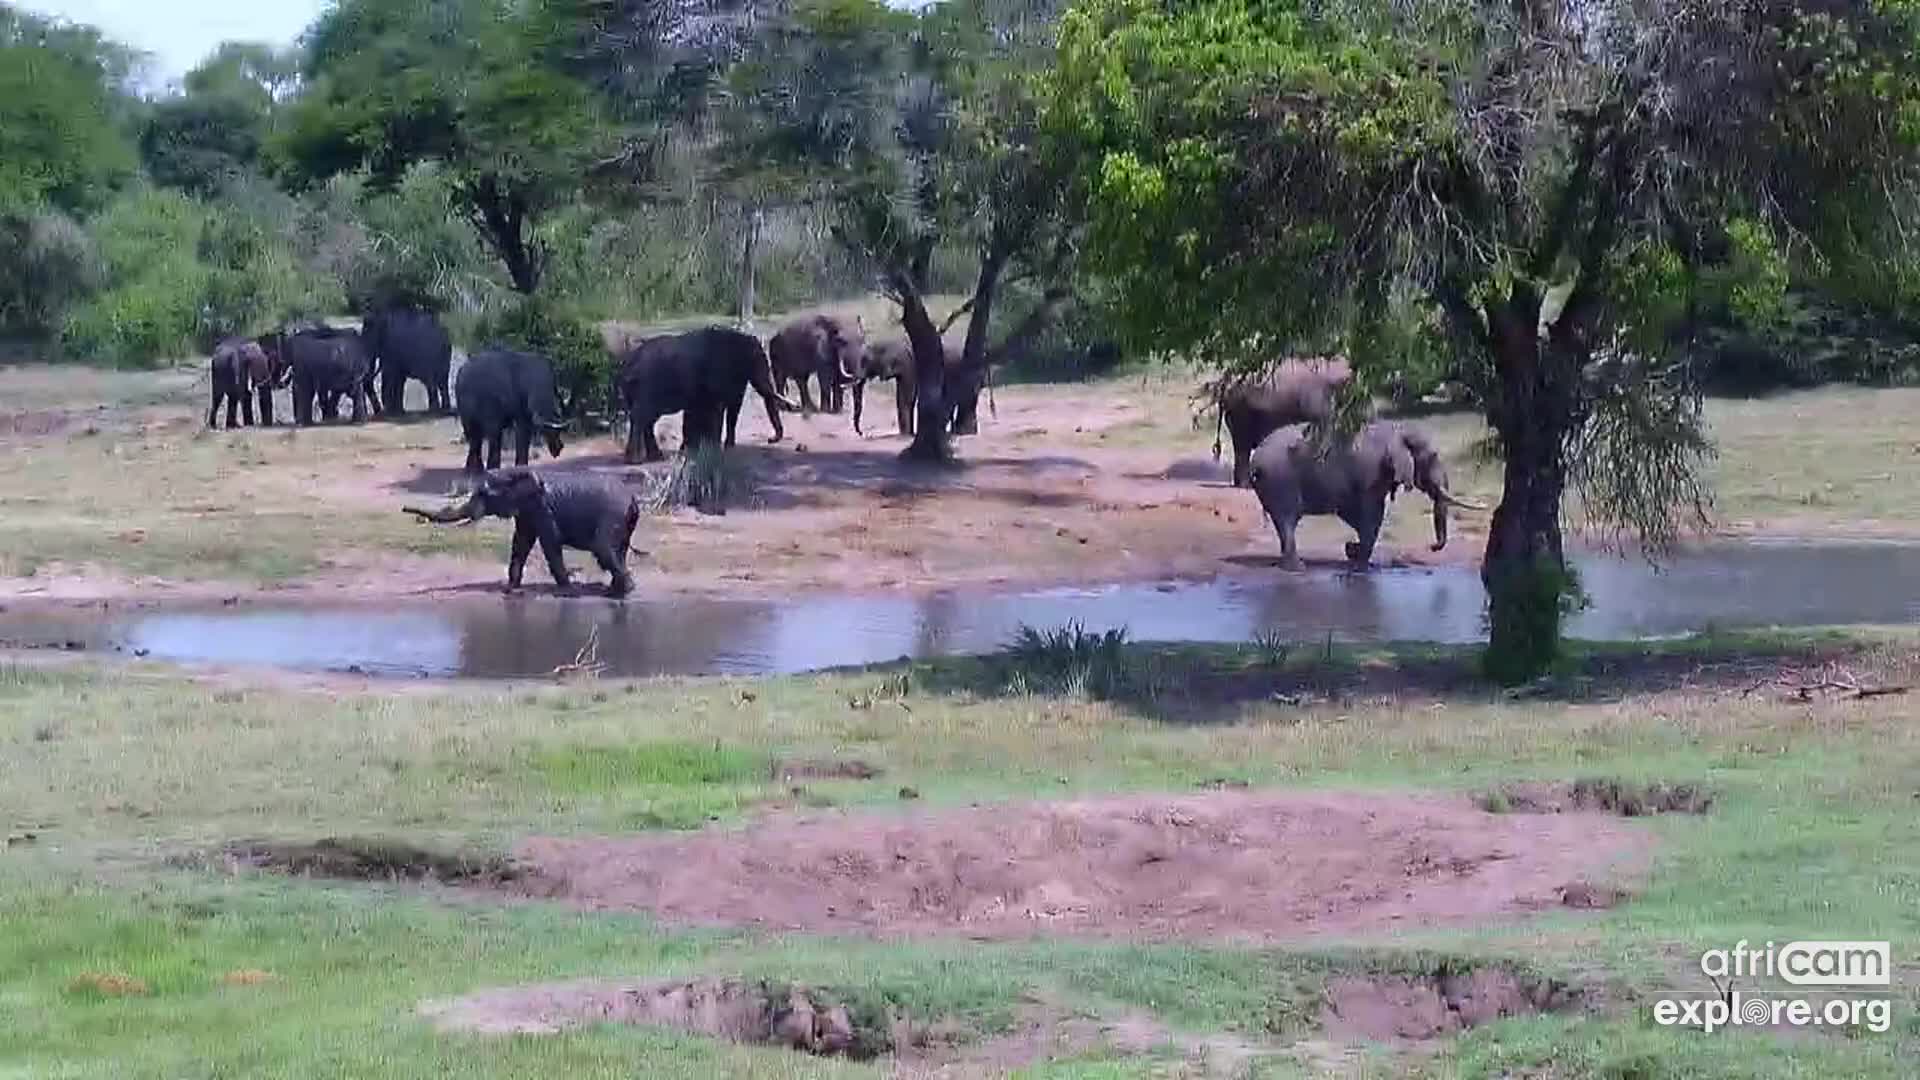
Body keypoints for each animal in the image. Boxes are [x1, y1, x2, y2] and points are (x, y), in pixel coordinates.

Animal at [404, 467, 642, 597]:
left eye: (483, 494)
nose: (405, 509)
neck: (517, 472)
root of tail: (632, 497)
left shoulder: (543, 509)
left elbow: (550, 543)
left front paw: (567, 590)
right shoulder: (527, 511)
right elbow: (521, 542)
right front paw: (510, 589)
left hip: (612, 515)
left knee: (603, 548)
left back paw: (621, 592)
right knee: (618, 550)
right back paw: (615, 591)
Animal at [616, 325, 799, 464]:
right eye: (758, 361)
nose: (770, 439)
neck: (737, 338)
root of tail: (627, 364)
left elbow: (715, 409)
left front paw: (696, 451)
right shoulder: (719, 373)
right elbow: (720, 408)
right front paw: (715, 450)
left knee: (648, 419)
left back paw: (656, 457)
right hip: (646, 387)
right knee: (641, 417)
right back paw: (635, 461)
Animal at [1213, 357, 1355, 488]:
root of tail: (1224, 387)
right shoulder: (1317, 398)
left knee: (1240, 446)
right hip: (1241, 409)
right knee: (1242, 445)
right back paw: (1245, 485)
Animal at [1247, 420, 1482, 571]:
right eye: (1433, 456)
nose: (1432, 547)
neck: (1398, 429)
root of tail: (1255, 457)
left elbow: (1354, 514)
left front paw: (1352, 551)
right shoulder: (1372, 473)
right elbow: (1372, 514)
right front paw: (1361, 565)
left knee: (1283, 522)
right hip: (1280, 479)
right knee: (1287, 519)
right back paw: (1297, 569)